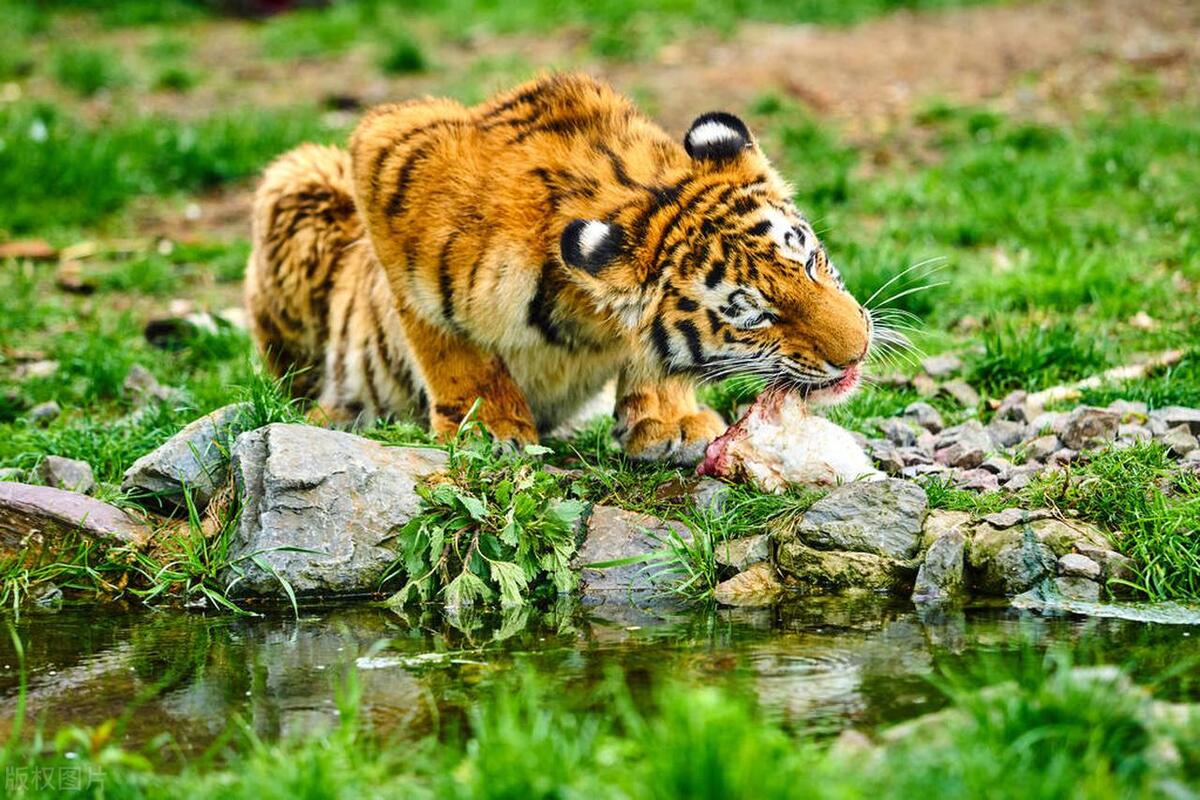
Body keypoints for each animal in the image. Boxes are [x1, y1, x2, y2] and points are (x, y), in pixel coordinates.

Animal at [245, 73, 871, 465]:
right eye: (754, 316)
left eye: (810, 261)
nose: (859, 350)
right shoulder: (390, 152)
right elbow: (448, 342)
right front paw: (488, 429)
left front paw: (670, 422)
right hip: (301, 179)